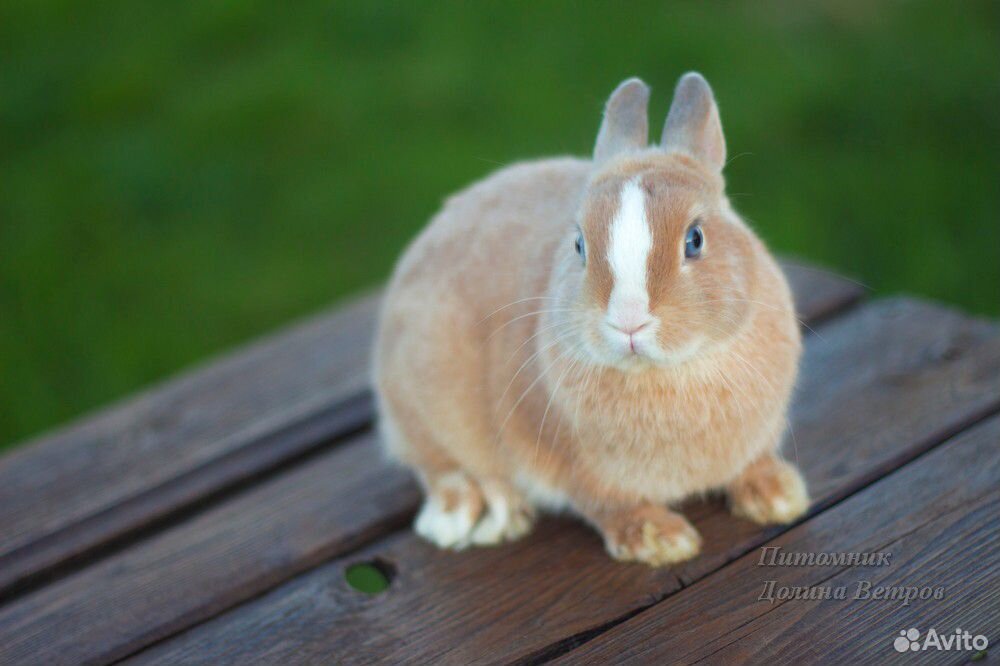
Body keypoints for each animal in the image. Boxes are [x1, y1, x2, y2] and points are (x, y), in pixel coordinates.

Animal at [372, 72, 809, 566]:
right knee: (438, 468)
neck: (668, 372)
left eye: (695, 239)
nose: (629, 322)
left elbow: (752, 464)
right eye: (579, 244)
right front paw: (661, 541)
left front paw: (778, 496)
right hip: (425, 404)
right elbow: (609, 505)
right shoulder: (579, 468)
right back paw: (472, 513)